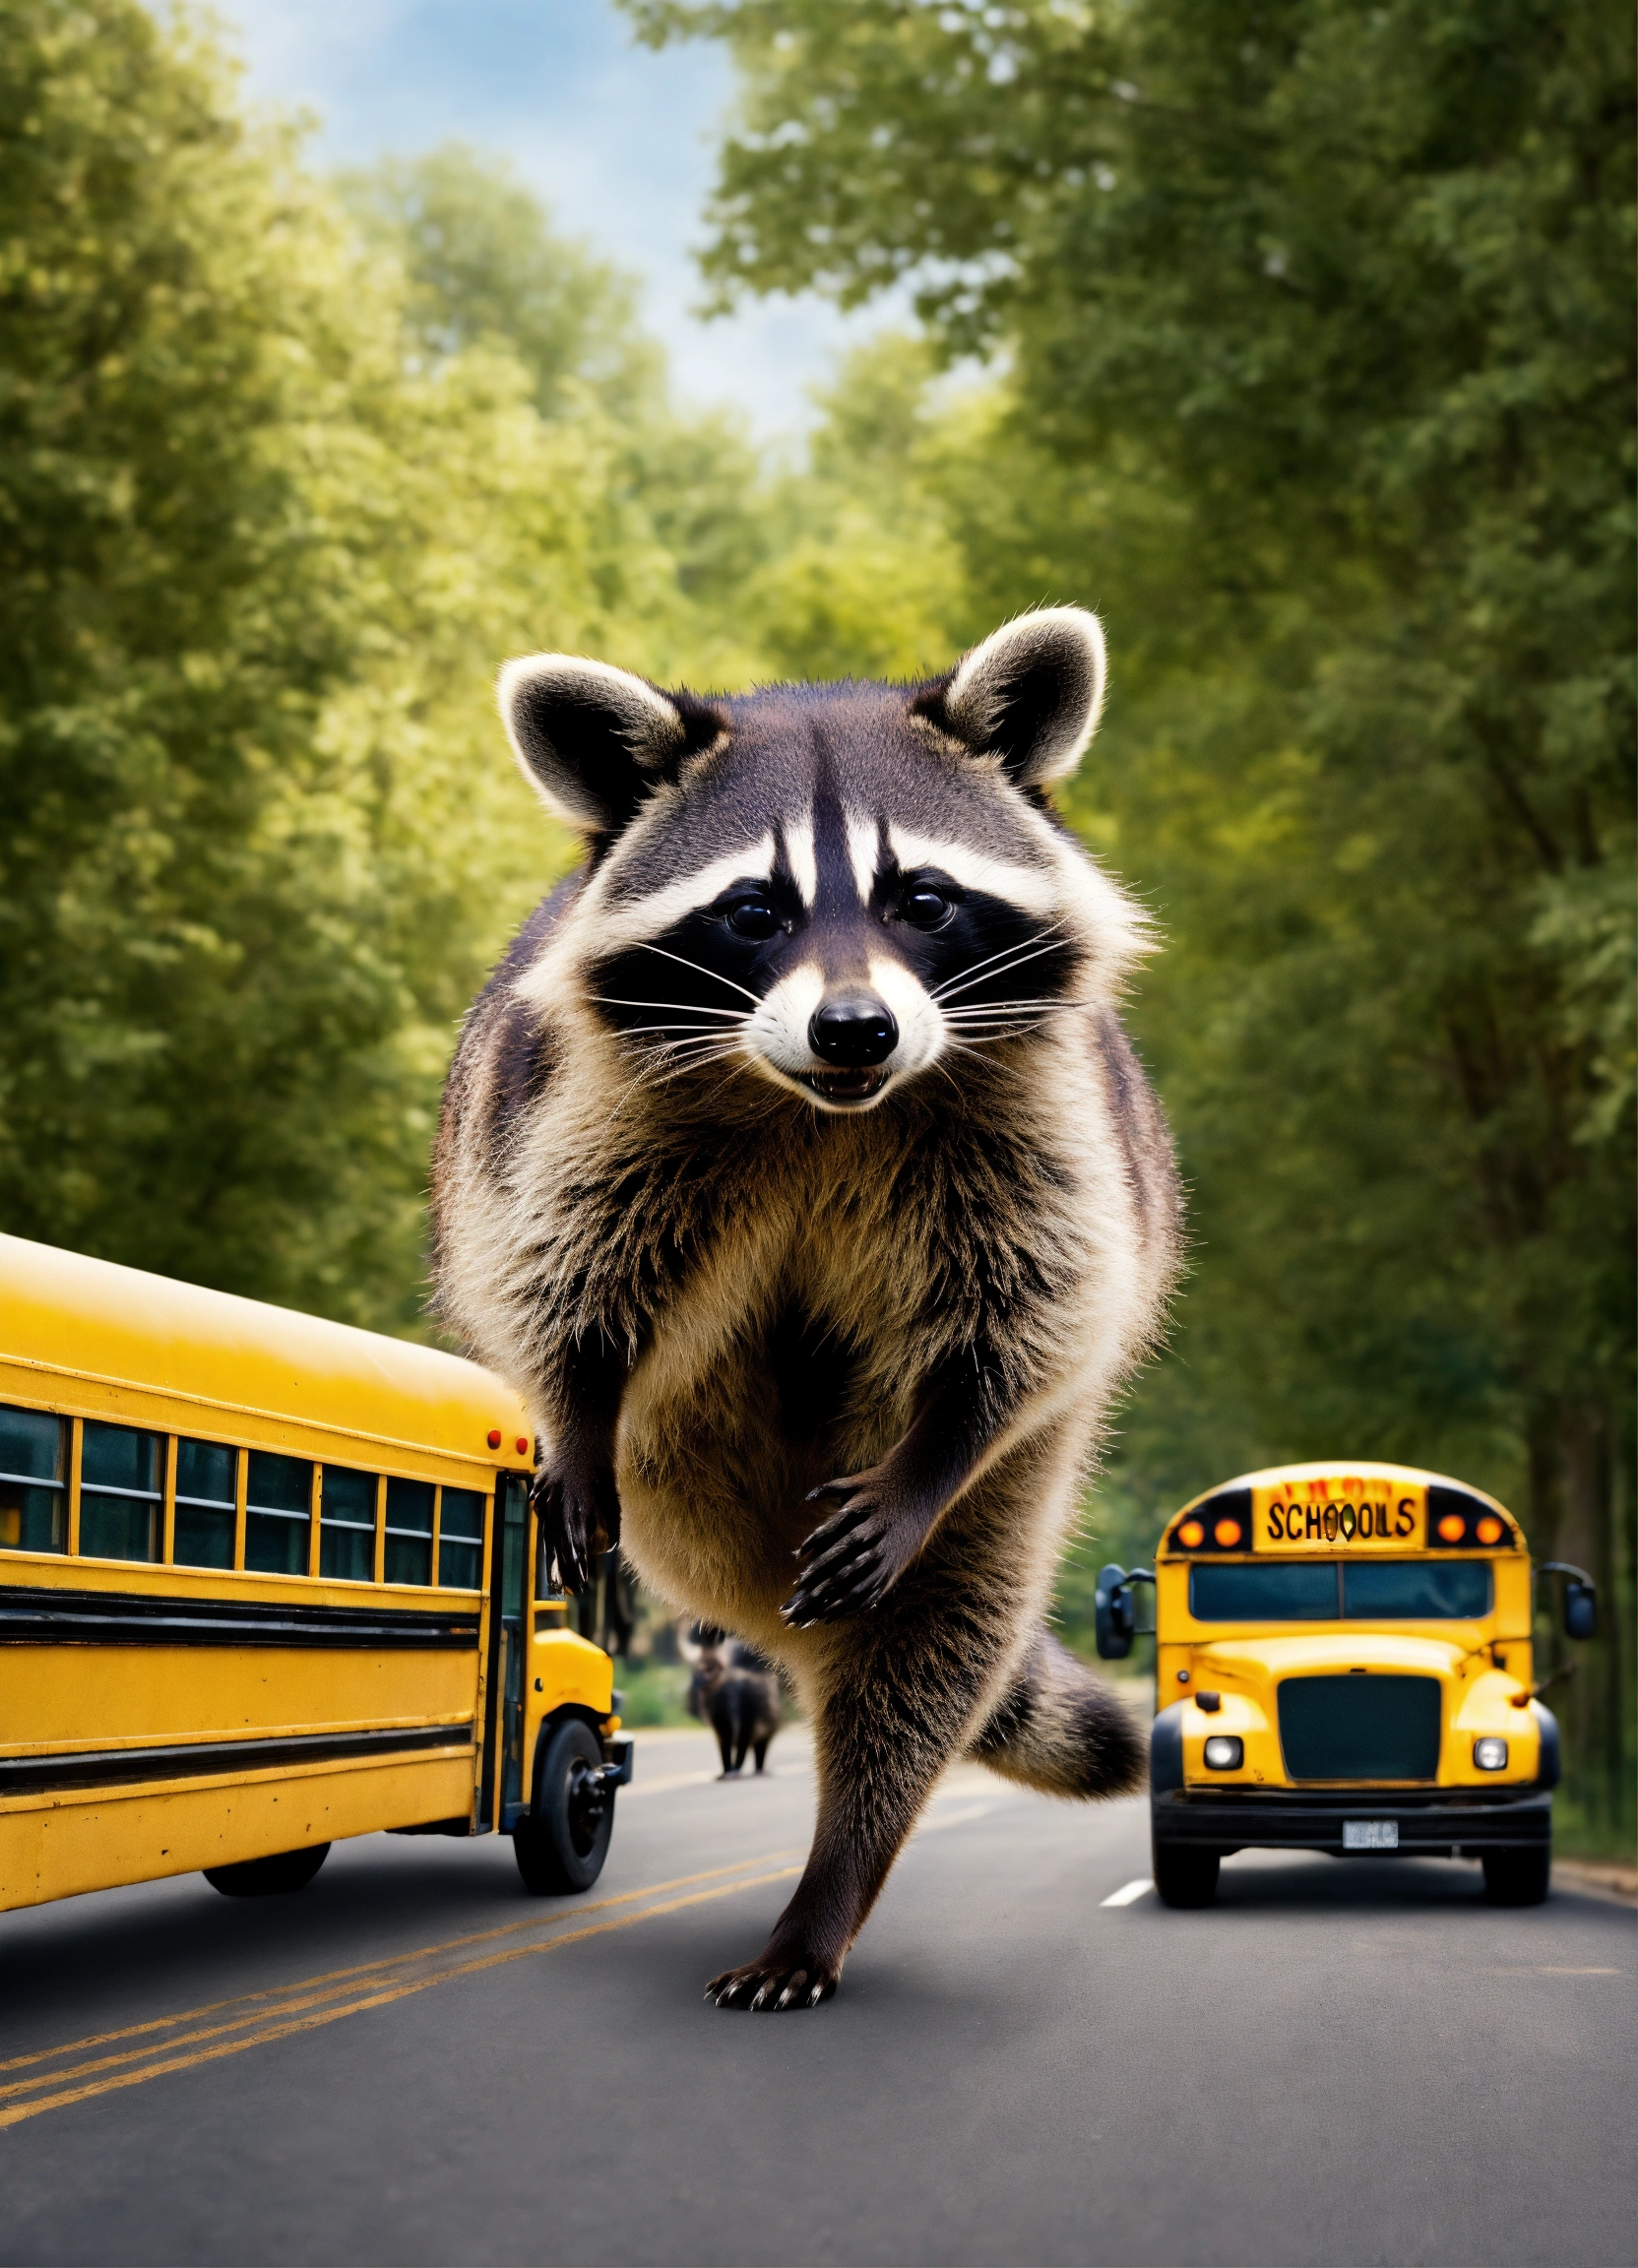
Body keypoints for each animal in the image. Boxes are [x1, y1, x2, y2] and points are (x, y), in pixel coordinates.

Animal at [434, 607, 1181, 2010]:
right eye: (751, 910)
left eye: (921, 900)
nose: (853, 1030)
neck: (823, 1111)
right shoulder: (570, 1109)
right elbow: (563, 1277)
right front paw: (575, 1417)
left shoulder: (1047, 1118)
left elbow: (1034, 1309)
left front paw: (936, 1445)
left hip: (999, 1504)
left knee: (926, 1650)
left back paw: (831, 1884)